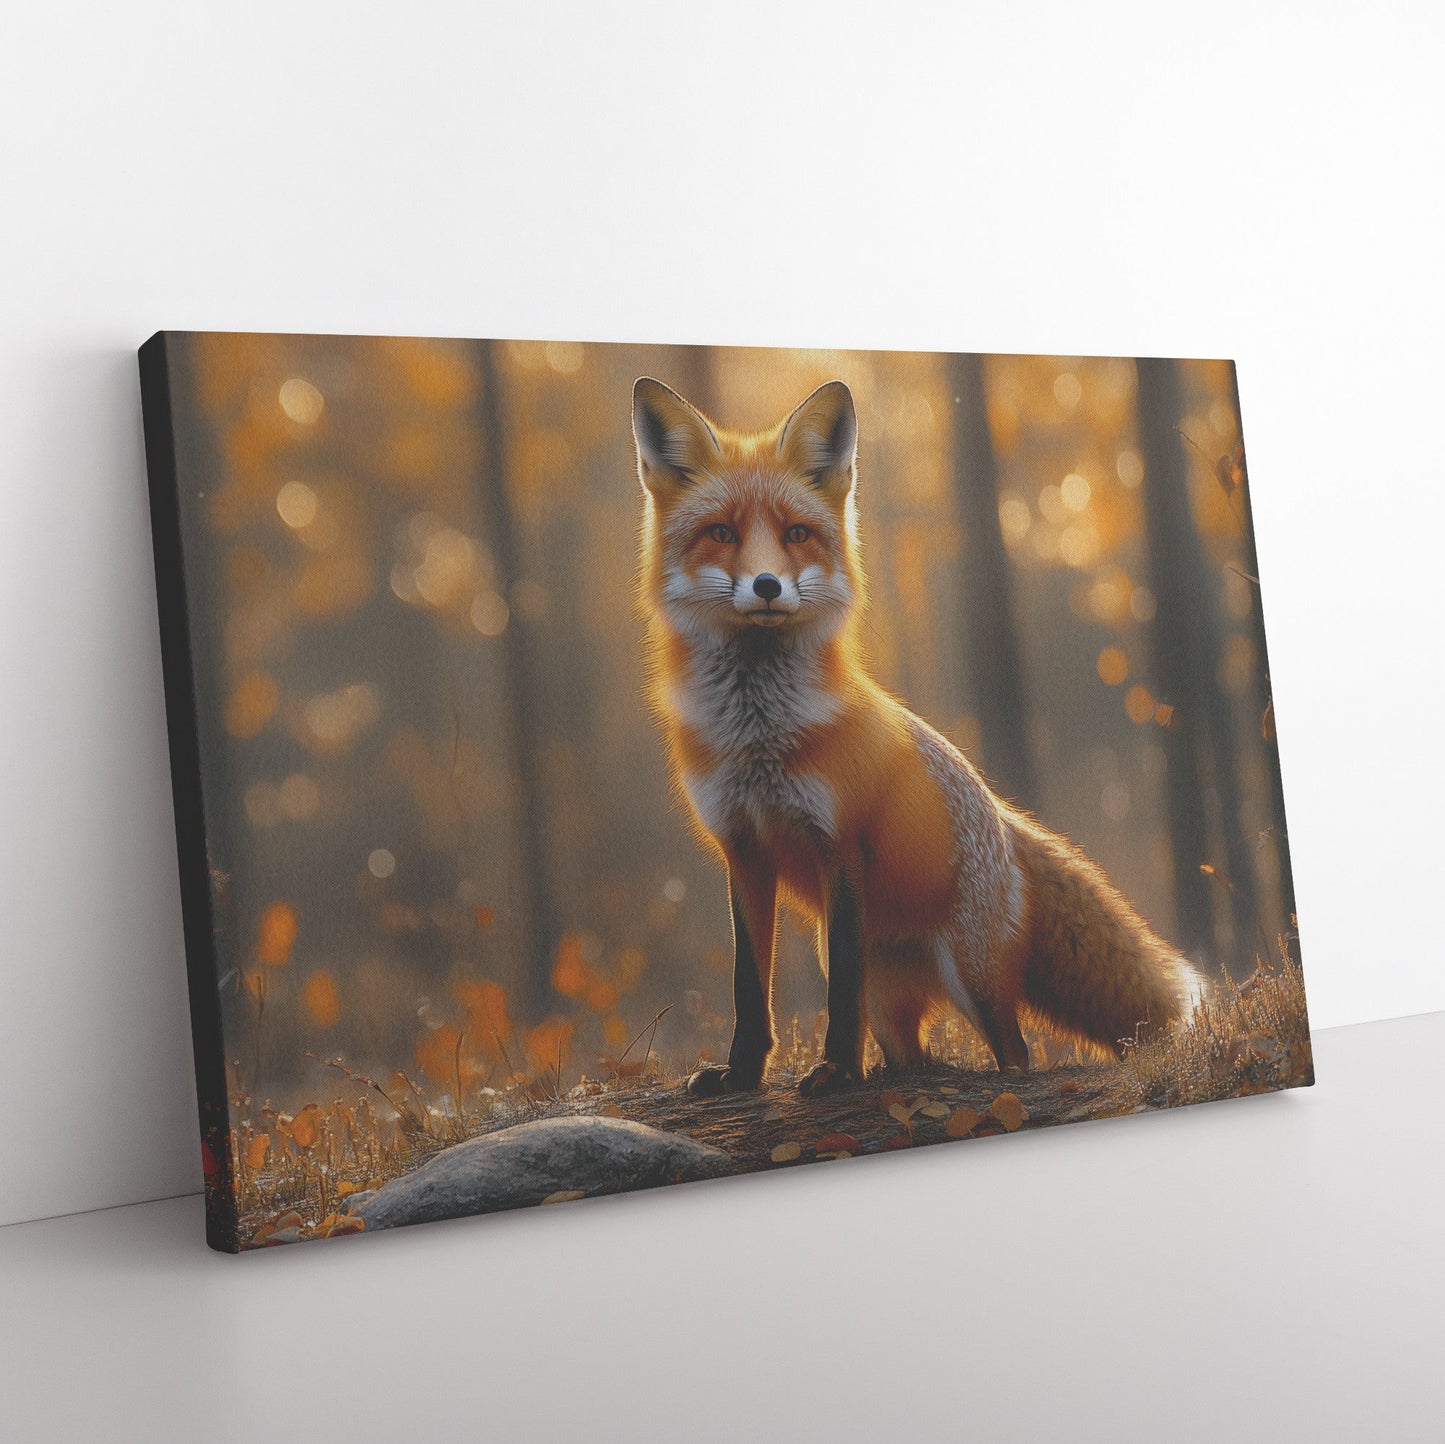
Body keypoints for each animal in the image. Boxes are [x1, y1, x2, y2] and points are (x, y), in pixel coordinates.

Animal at [632, 375, 1202, 1099]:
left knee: (1016, 1055)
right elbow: (748, 987)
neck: (759, 734)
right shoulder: (744, 852)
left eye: (796, 534)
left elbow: (839, 994)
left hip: (973, 980)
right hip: (891, 995)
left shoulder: (840, 844)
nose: (766, 585)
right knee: (911, 1055)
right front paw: (742, 1075)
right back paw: (894, 1074)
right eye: (720, 533)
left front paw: (836, 1072)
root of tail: (1003, 821)